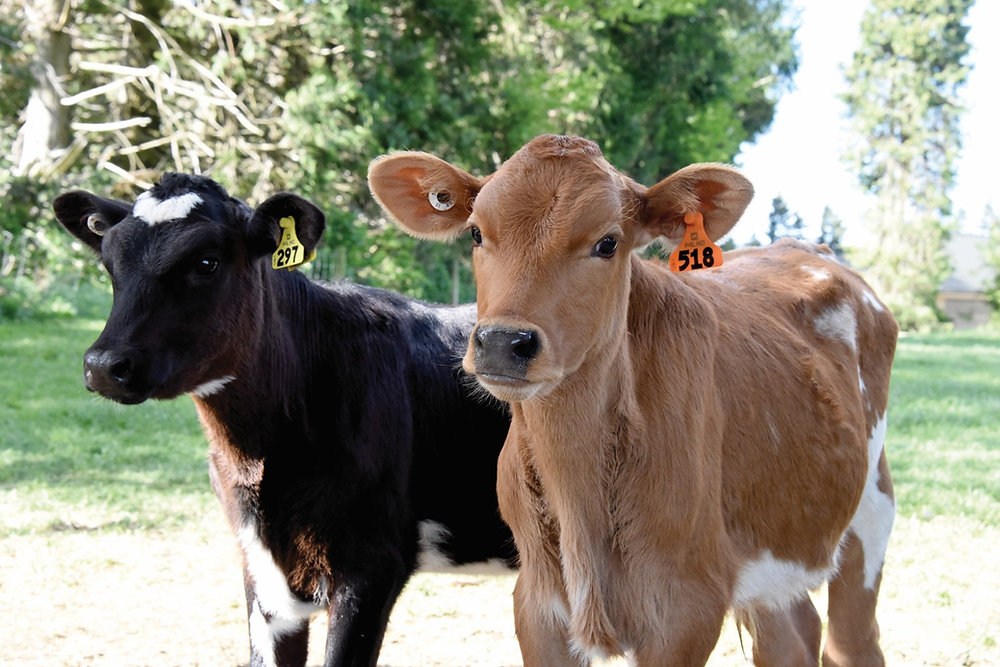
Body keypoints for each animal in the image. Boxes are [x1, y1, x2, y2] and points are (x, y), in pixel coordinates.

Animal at [368, 134, 898, 666]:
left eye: (608, 243)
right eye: (477, 233)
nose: (502, 342)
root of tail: (807, 249)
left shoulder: (687, 610)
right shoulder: (536, 605)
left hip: (871, 512)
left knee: (853, 640)